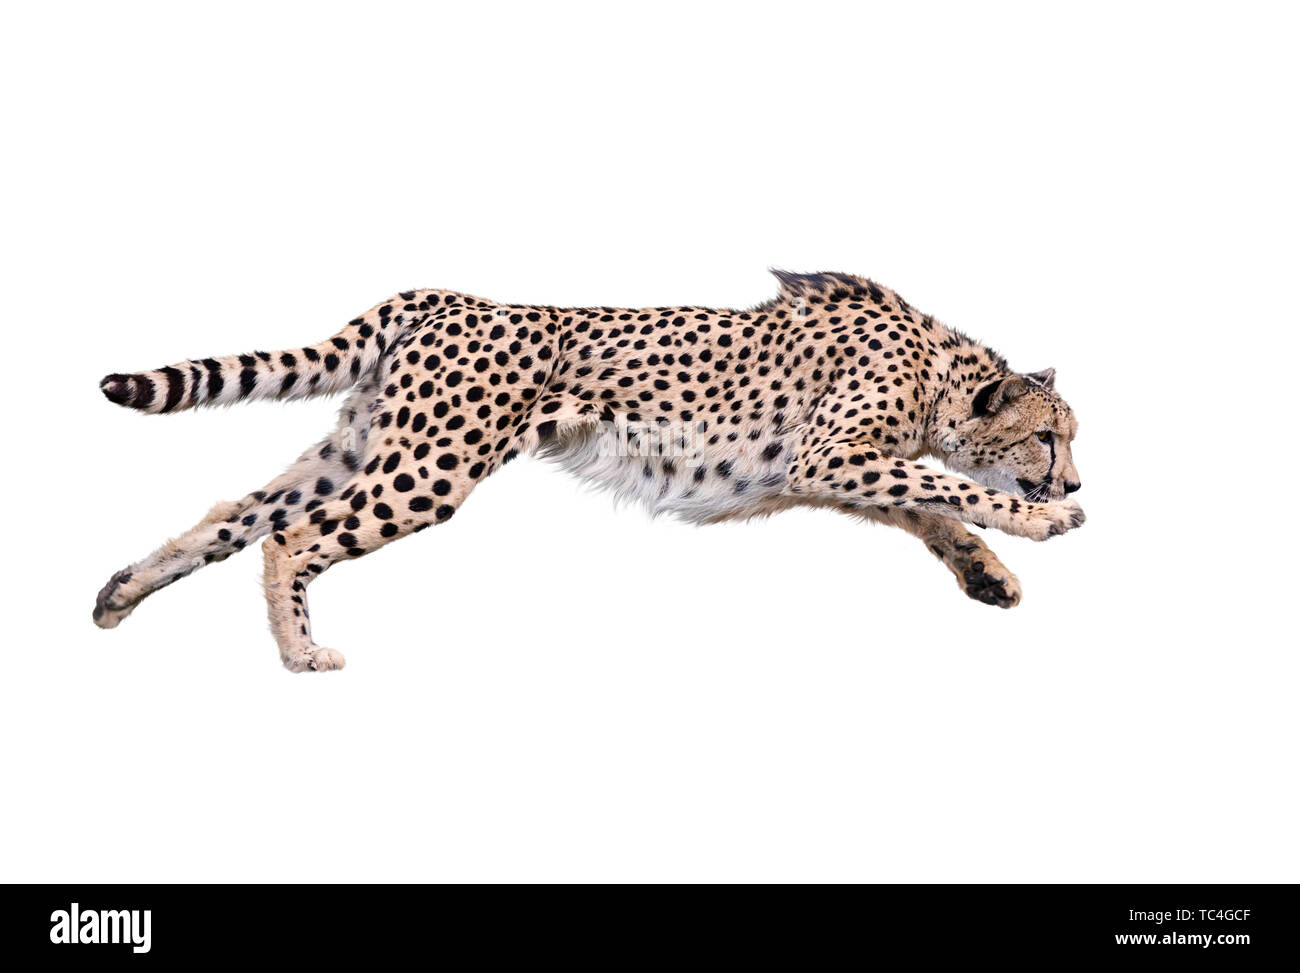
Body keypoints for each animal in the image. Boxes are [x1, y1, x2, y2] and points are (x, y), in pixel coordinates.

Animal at [94, 270, 1085, 672]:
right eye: (1049, 438)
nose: (1072, 482)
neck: (943, 376)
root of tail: (448, 294)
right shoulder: (830, 453)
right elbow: (949, 488)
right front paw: (1041, 524)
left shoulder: (824, 469)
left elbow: (932, 509)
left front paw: (989, 573)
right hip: (431, 465)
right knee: (291, 535)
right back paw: (300, 653)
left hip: (365, 445)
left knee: (234, 512)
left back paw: (119, 593)